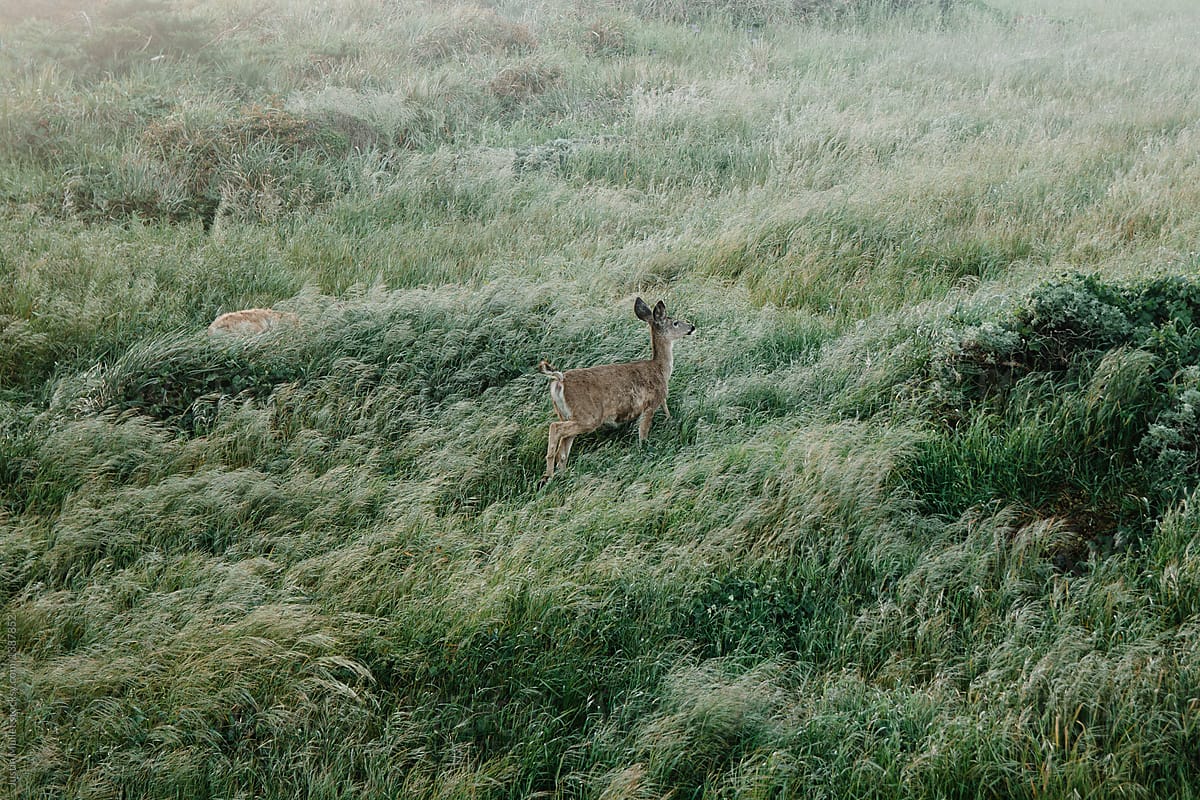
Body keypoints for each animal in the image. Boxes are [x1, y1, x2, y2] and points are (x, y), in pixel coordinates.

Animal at [539, 297, 695, 482]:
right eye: (675, 323)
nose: (692, 327)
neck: (660, 370)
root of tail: (559, 379)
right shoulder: (650, 404)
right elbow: (643, 433)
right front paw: (644, 450)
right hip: (588, 416)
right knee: (555, 429)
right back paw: (548, 475)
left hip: (565, 414)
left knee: (563, 447)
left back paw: (562, 474)